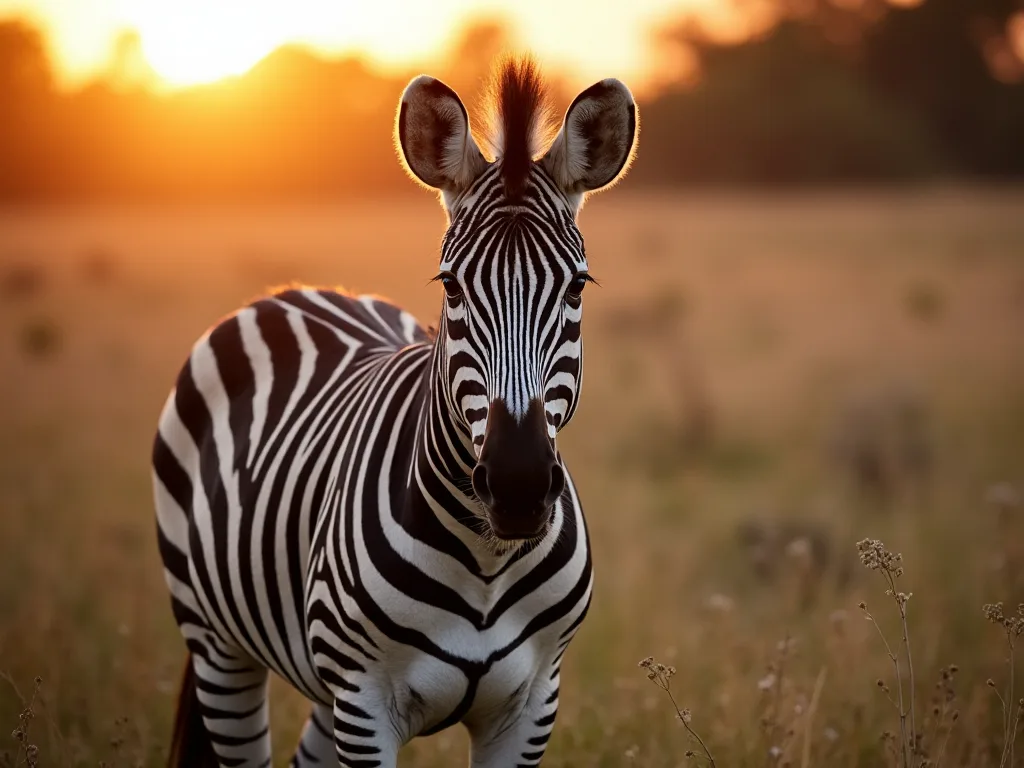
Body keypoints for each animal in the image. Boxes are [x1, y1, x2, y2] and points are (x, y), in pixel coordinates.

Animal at [153, 58, 637, 768]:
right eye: (451, 287)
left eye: (577, 286)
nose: (518, 484)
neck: (488, 560)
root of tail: (294, 291)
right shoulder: (364, 702)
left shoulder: (531, 706)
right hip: (217, 643)